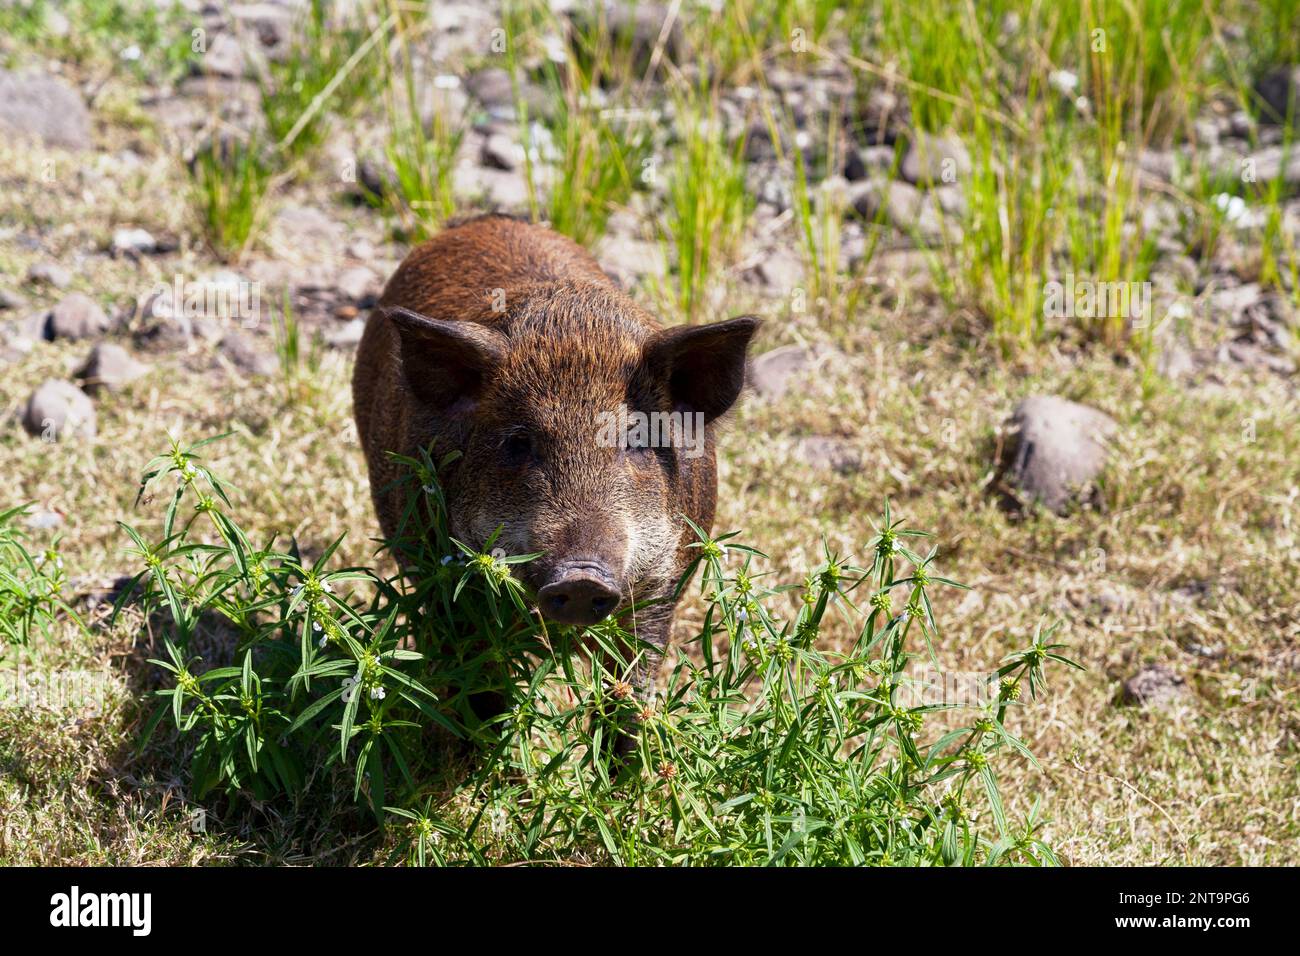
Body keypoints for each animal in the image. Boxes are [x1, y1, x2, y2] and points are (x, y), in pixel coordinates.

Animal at [351, 214, 758, 726]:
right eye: (520, 442)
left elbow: (632, 686)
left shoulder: (661, 590)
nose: (581, 577)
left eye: (637, 440)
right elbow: (479, 684)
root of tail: (486, 219)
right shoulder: (445, 585)